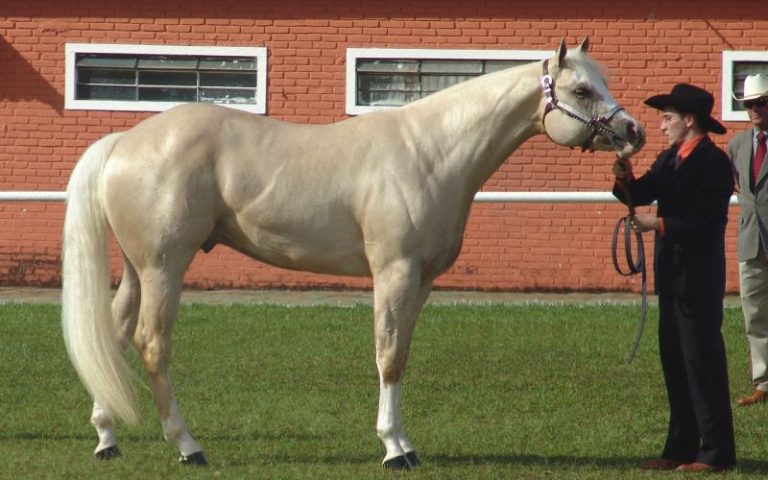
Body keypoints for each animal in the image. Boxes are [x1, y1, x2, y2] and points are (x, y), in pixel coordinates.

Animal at [61, 37, 645, 468]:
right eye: (581, 88)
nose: (633, 132)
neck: (430, 152)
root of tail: (126, 140)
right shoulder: (394, 272)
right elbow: (387, 355)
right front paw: (394, 449)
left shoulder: (422, 281)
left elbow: (402, 354)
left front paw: (404, 443)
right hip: (165, 266)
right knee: (151, 344)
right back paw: (188, 446)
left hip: (137, 268)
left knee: (115, 332)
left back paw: (107, 437)